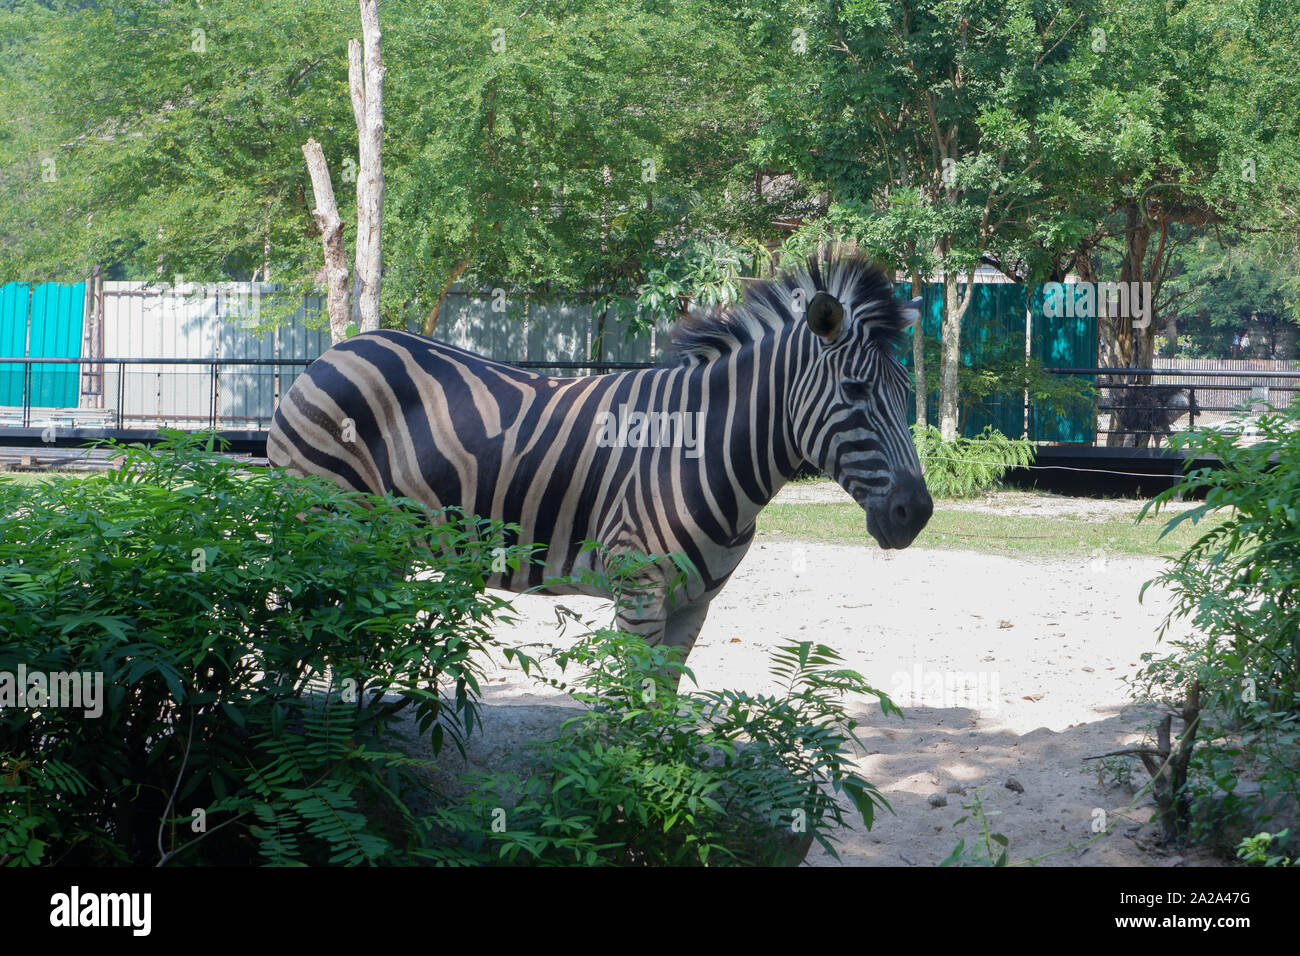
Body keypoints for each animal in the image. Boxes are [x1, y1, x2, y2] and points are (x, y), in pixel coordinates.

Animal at [267, 254, 933, 673]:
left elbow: (662, 708)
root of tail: (333, 352)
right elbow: (629, 713)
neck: (703, 451)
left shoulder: (695, 603)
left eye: (906, 393)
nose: (917, 514)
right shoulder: (638, 587)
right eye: (853, 392)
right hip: (322, 525)